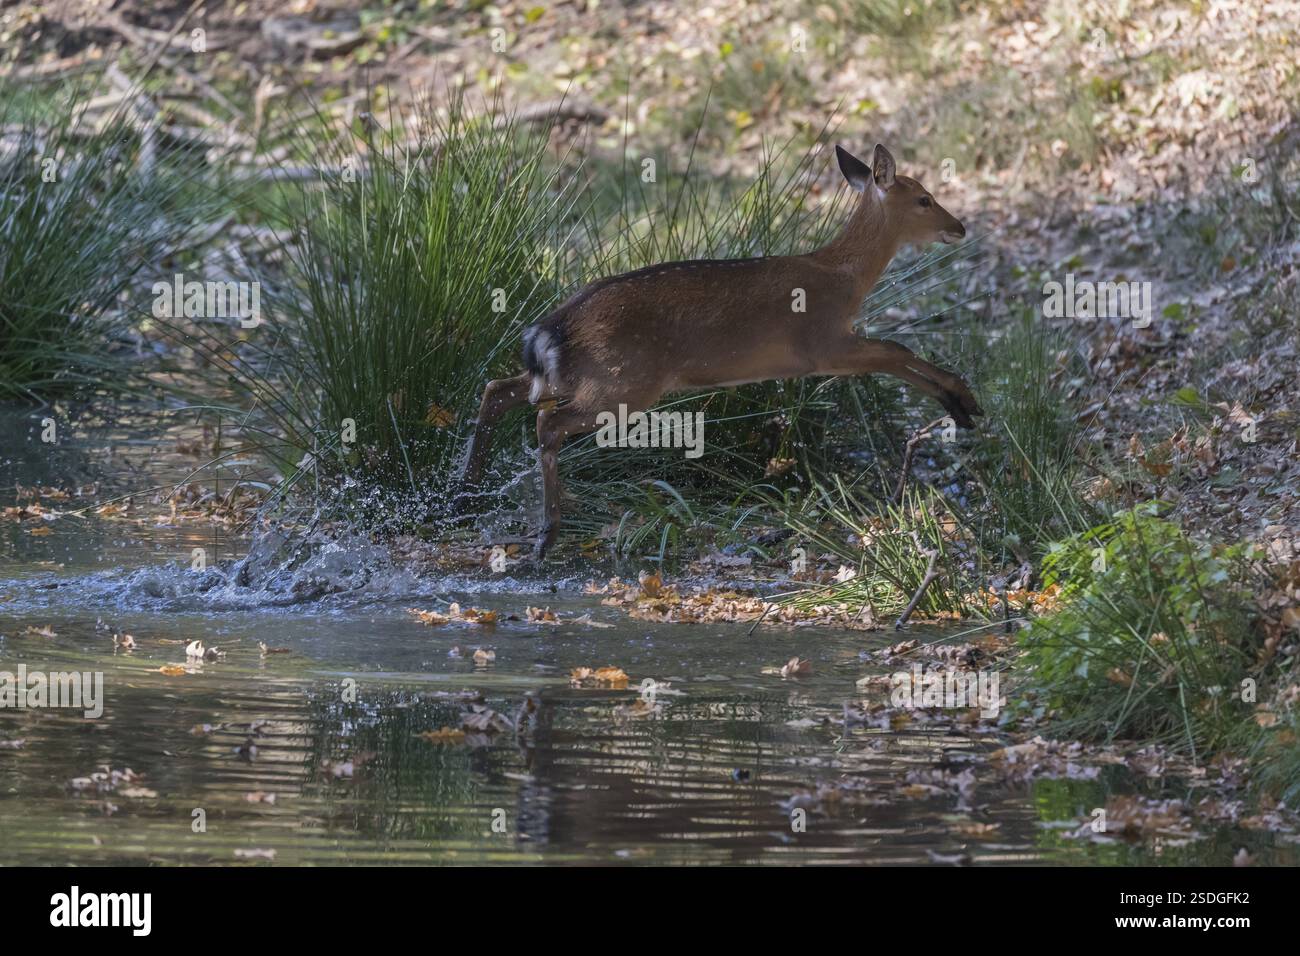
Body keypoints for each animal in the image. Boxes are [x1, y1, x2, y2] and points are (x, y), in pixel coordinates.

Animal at [458, 144, 982, 557]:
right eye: (924, 198)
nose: (959, 227)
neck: (843, 279)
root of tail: (552, 327)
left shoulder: (829, 348)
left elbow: (896, 353)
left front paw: (961, 405)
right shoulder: (821, 345)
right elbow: (895, 349)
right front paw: (963, 401)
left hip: (572, 375)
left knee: (497, 389)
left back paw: (465, 500)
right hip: (624, 380)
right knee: (547, 422)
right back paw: (546, 533)